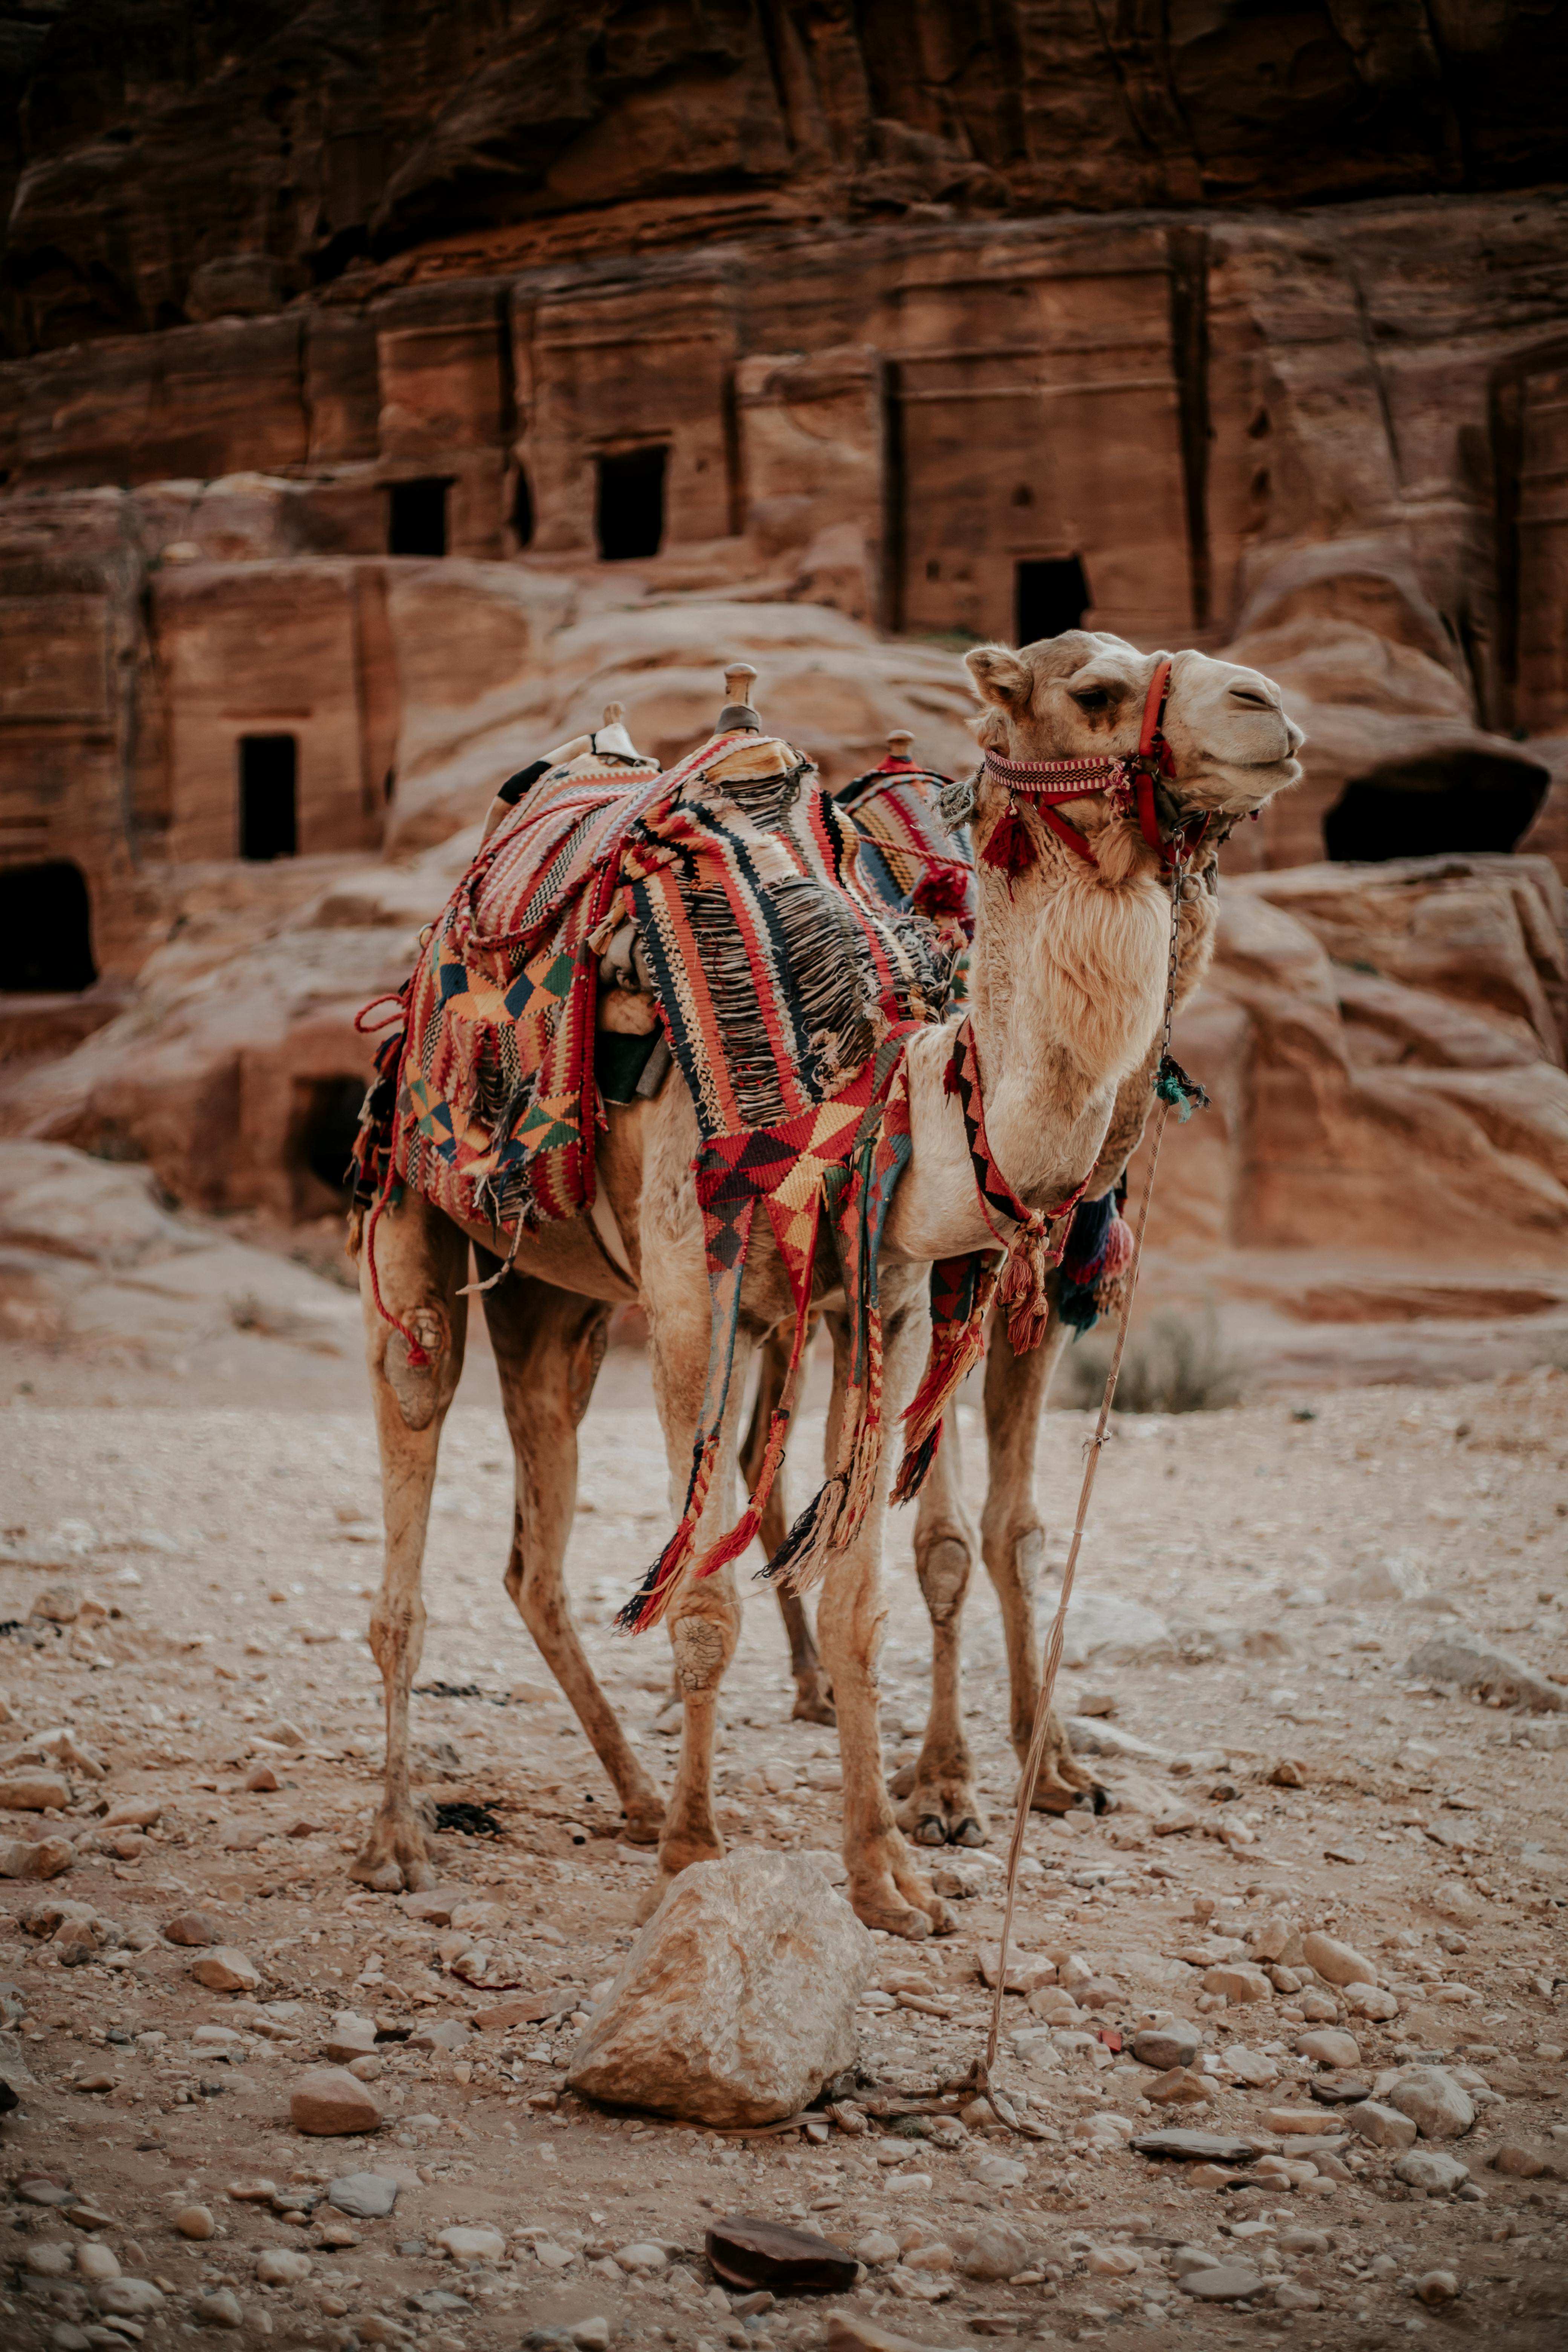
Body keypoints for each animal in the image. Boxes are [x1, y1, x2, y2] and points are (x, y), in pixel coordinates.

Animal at [350, 631, 1301, 1937]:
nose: (1273, 709)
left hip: (567, 1300)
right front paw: (710, 1852)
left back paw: (633, 1793)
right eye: (1096, 690)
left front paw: (892, 1867)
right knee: (416, 1472)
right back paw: (402, 1838)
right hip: (412, 1206)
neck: (877, 1086)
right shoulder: (701, 1307)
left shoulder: (895, 1302)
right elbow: (715, 1600)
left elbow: (891, 1583)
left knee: (535, 1557)